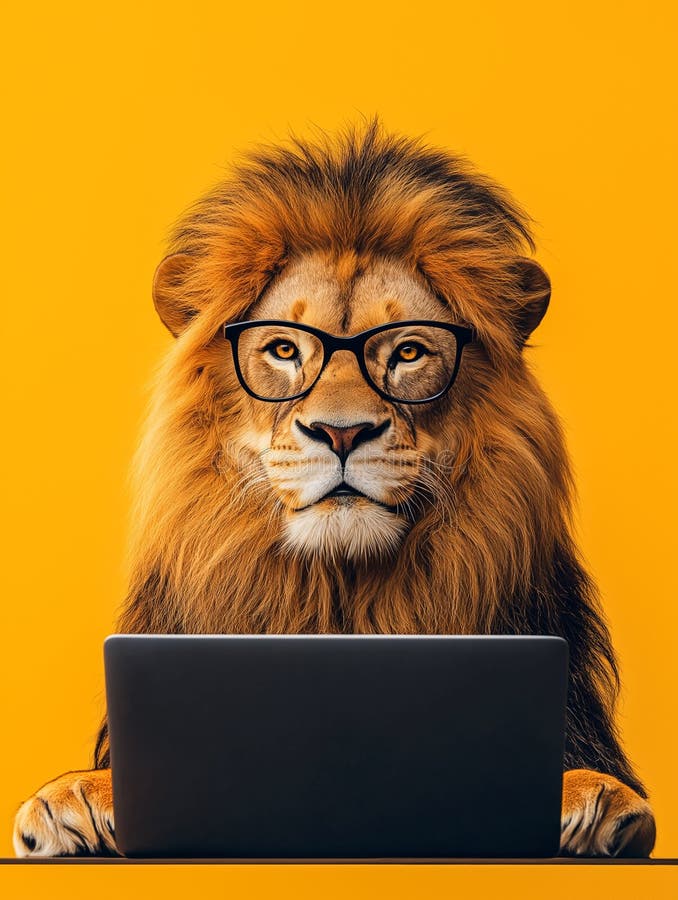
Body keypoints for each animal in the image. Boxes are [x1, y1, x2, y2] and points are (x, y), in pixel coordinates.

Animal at [14, 122, 656, 858]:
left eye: (408, 351)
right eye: (284, 349)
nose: (341, 432)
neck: (343, 595)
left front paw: (597, 795)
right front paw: (69, 798)